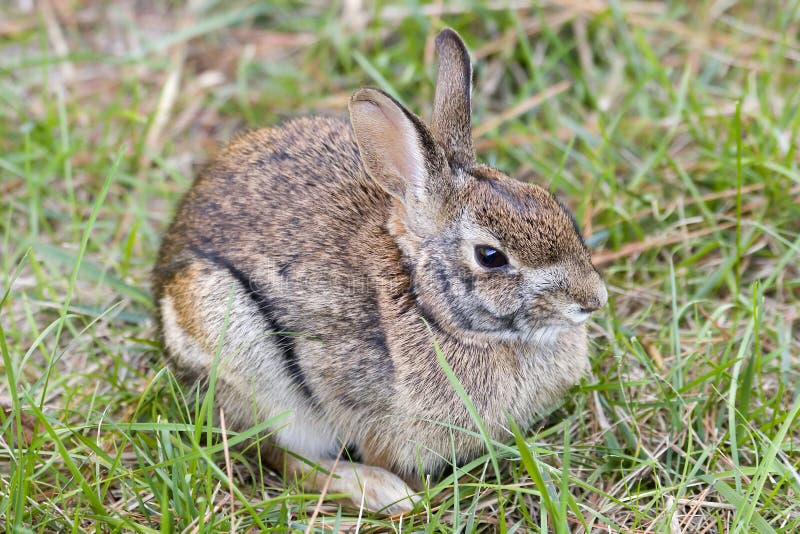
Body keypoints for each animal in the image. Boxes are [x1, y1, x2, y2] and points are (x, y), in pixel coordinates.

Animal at [153, 28, 608, 514]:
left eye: (549, 202)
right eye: (490, 256)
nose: (591, 300)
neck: (430, 307)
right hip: (236, 349)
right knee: (282, 455)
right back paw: (380, 491)